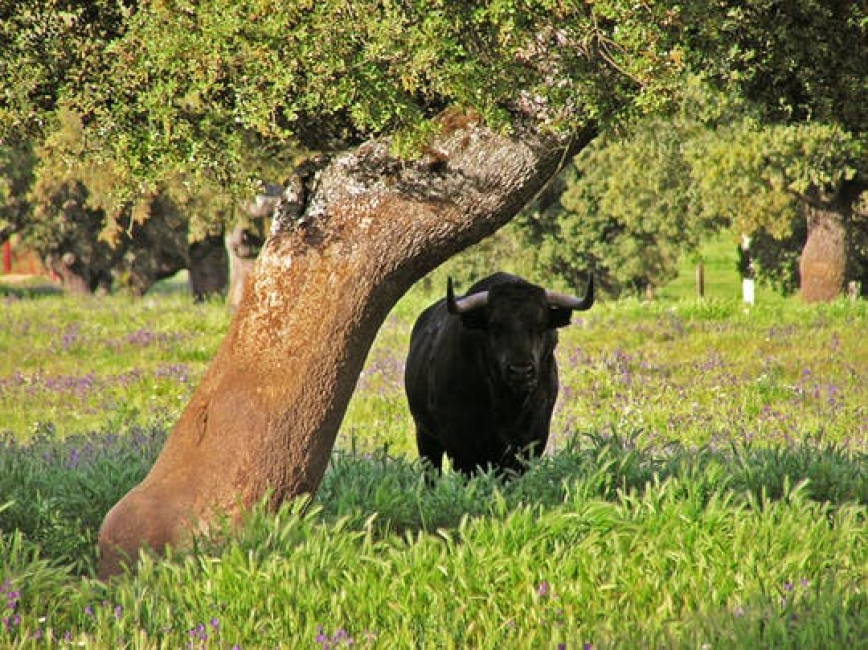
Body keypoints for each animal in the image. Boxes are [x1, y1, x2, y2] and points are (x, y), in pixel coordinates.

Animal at [404, 272, 594, 477]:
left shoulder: (532, 442)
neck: (508, 407)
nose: (521, 371)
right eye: (495, 325)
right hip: (425, 436)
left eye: (541, 324)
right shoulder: (461, 446)